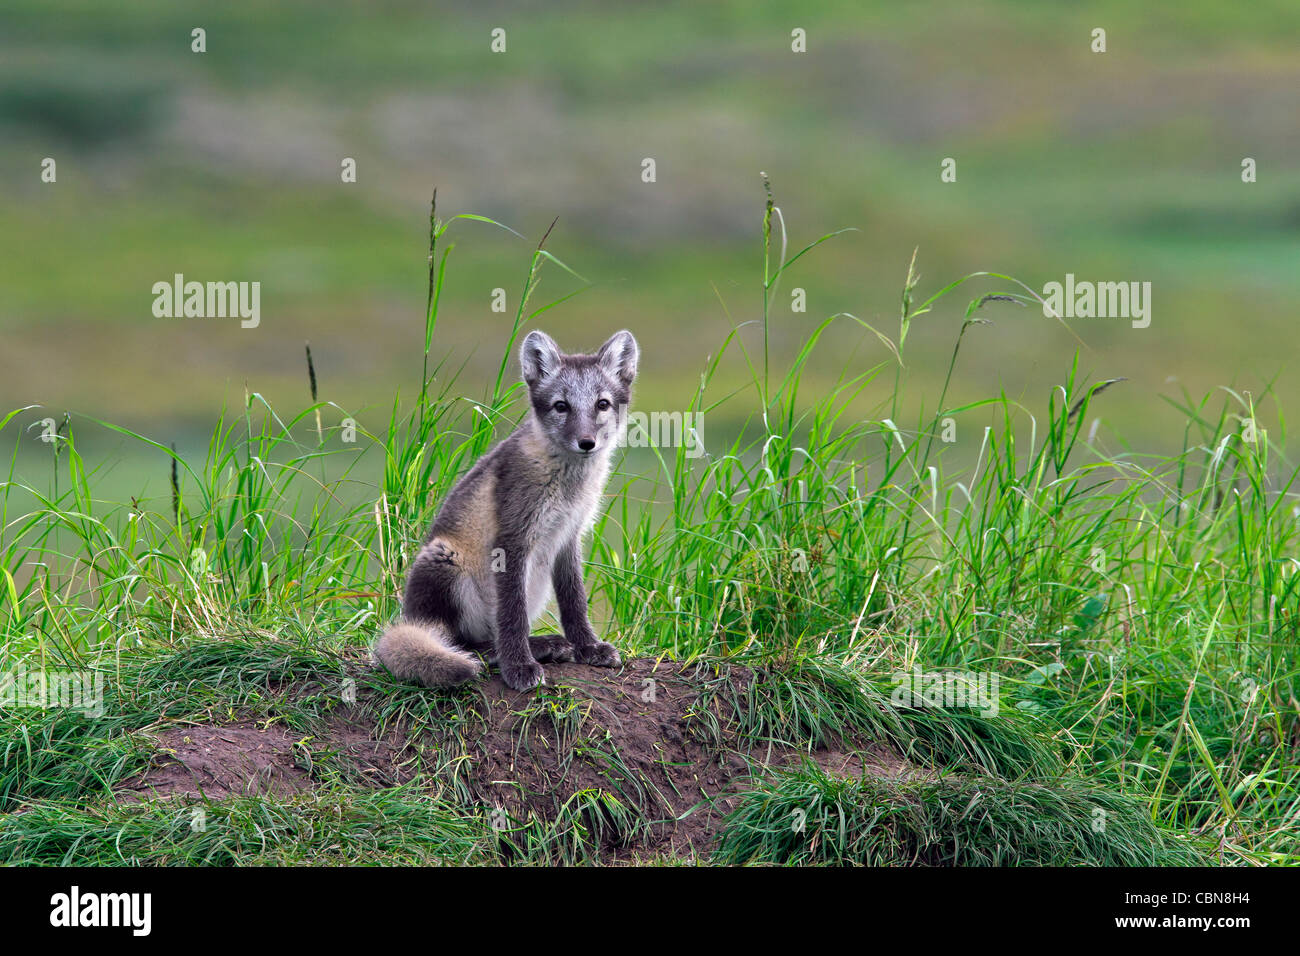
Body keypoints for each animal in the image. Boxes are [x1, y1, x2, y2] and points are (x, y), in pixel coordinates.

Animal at [372, 329, 637, 692]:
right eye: (561, 406)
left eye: (602, 404)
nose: (587, 443)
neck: (568, 485)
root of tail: (411, 618)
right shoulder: (512, 539)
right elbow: (513, 615)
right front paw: (518, 666)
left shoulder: (568, 537)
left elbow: (574, 602)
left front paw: (588, 647)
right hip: (445, 562)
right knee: (465, 642)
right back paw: (502, 653)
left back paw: (545, 645)